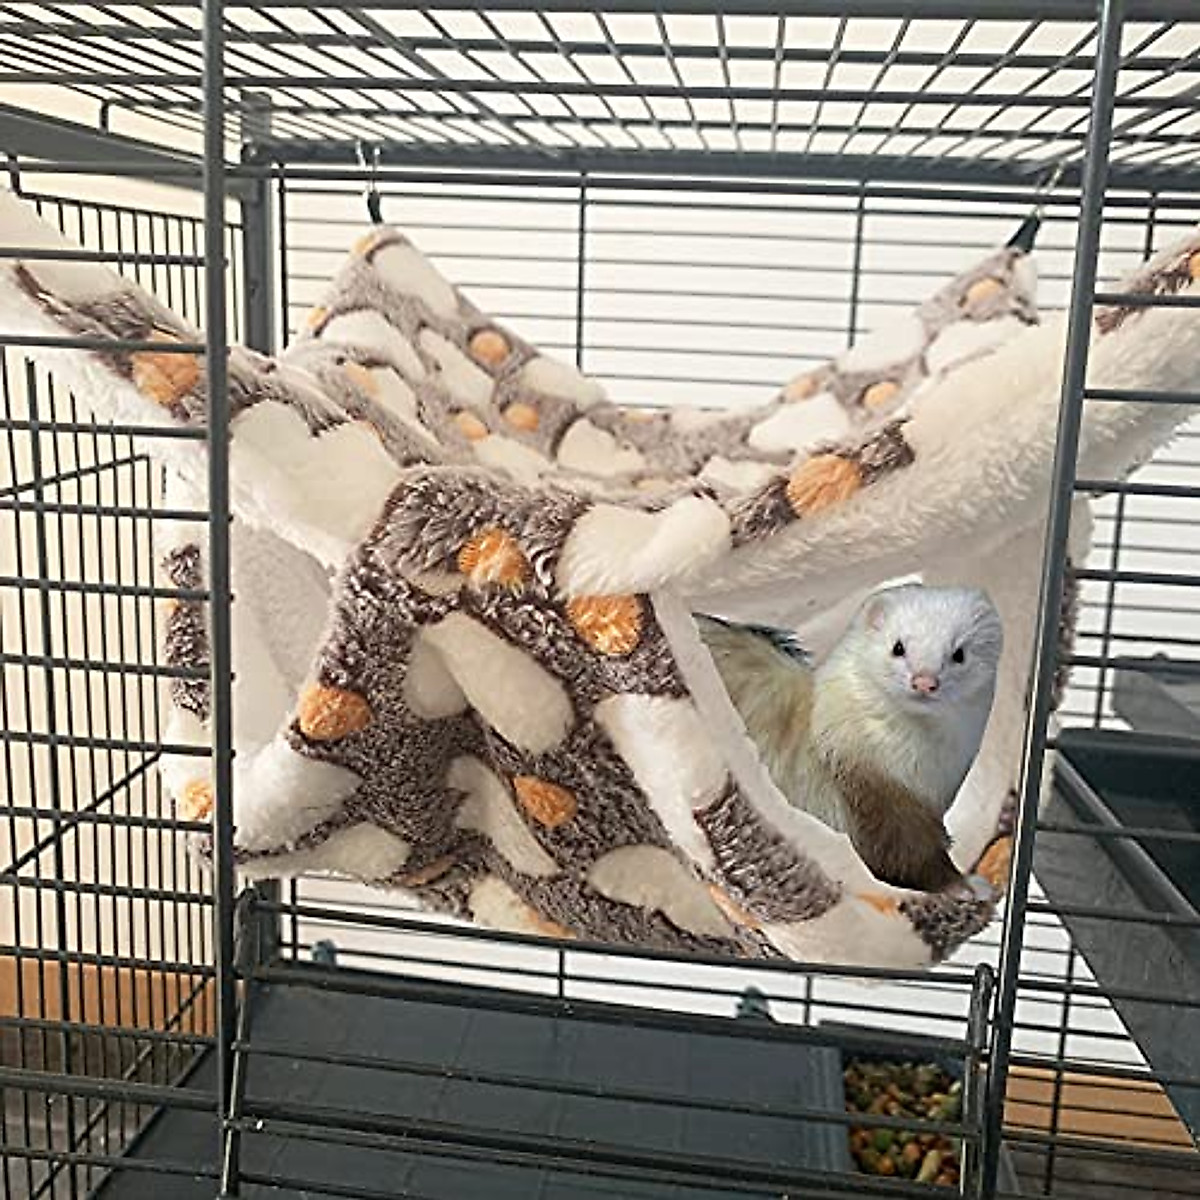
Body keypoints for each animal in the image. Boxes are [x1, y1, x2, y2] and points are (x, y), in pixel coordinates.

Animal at [696, 584, 1003, 893]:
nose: (925, 681)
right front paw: (967, 886)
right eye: (898, 647)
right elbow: (908, 861)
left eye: (959, 653)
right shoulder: (883, 811)